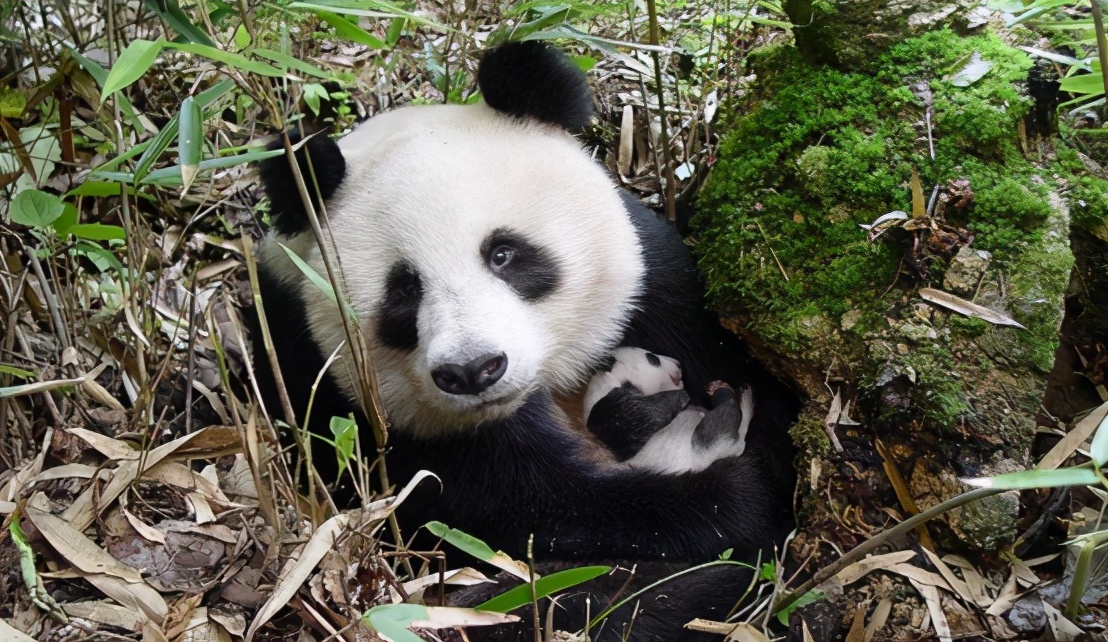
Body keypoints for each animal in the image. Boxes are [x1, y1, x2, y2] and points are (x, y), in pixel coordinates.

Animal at [583, 347, 755, 473]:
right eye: (653, 358)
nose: (679, 364)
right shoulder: (604, 405)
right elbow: (636, 420)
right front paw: (681, 396)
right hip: (700, 450)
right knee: (720, 428)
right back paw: (725, 395)